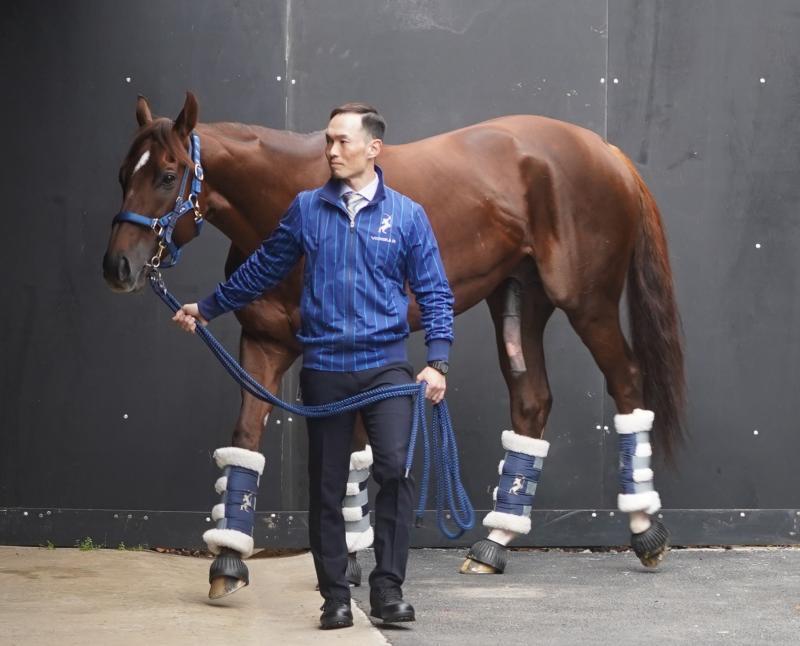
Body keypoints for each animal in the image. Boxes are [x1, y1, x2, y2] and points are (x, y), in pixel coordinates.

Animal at [103, 95, 684, 588]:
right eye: (123, 174)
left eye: (167, 175)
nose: (118, 266)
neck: (289, 202)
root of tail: (605, 151)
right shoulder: (263, 344)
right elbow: (247, 440)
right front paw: (229, 559)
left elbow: (353, 459)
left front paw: (348, 559)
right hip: (519, 298)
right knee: (531, 400)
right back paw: (494, 543)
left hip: (588, 301)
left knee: (627, 382)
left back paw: (644, 532)